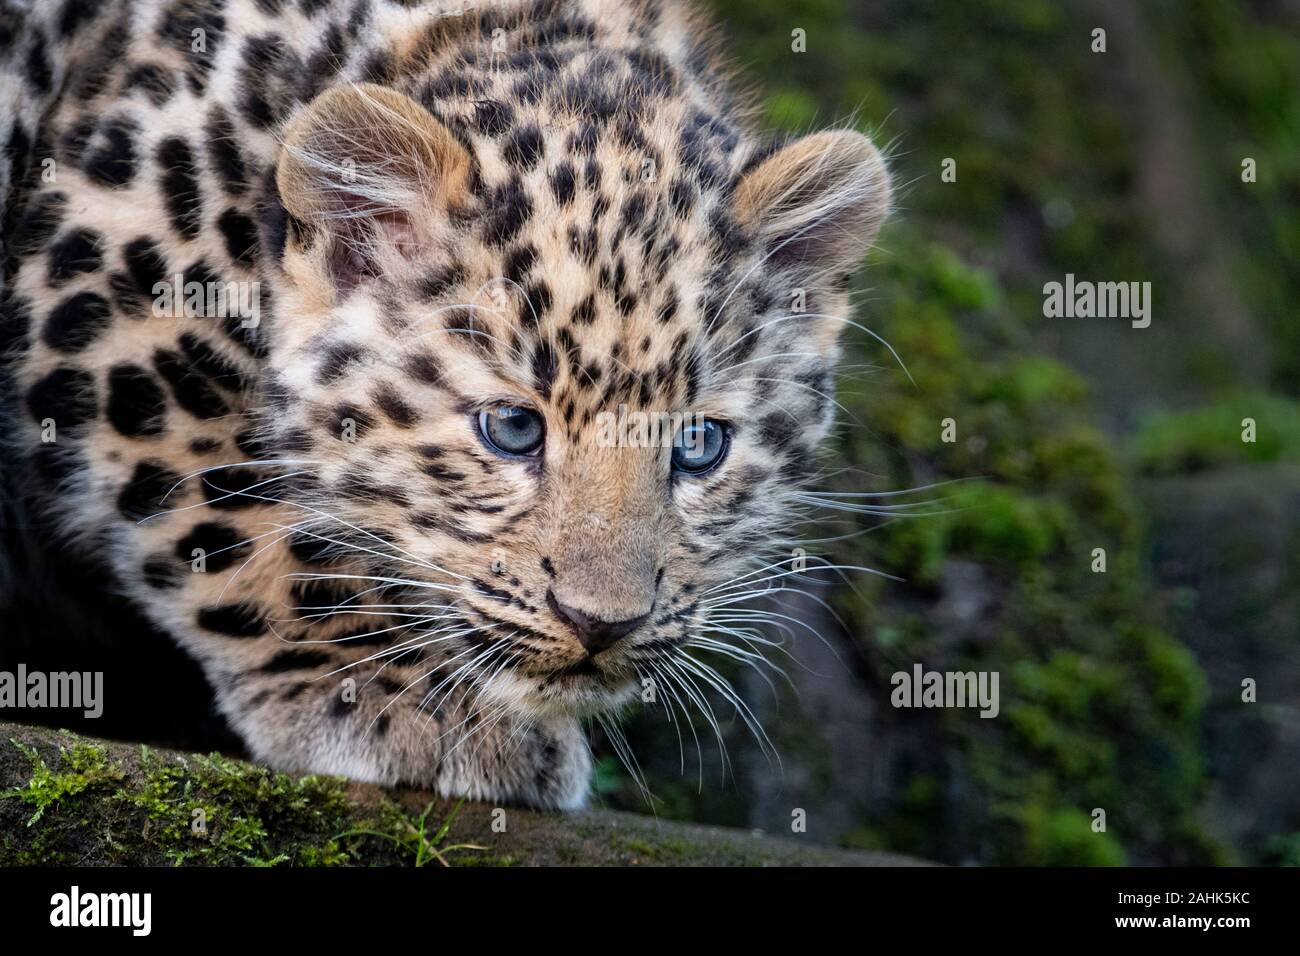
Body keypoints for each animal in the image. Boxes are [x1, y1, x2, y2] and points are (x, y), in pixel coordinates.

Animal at [0, 0, 890, 809]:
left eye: (700, 445)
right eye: (513, 429)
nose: (602, 624)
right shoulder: (120, 281)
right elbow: (234, 504)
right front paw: (402, 698)